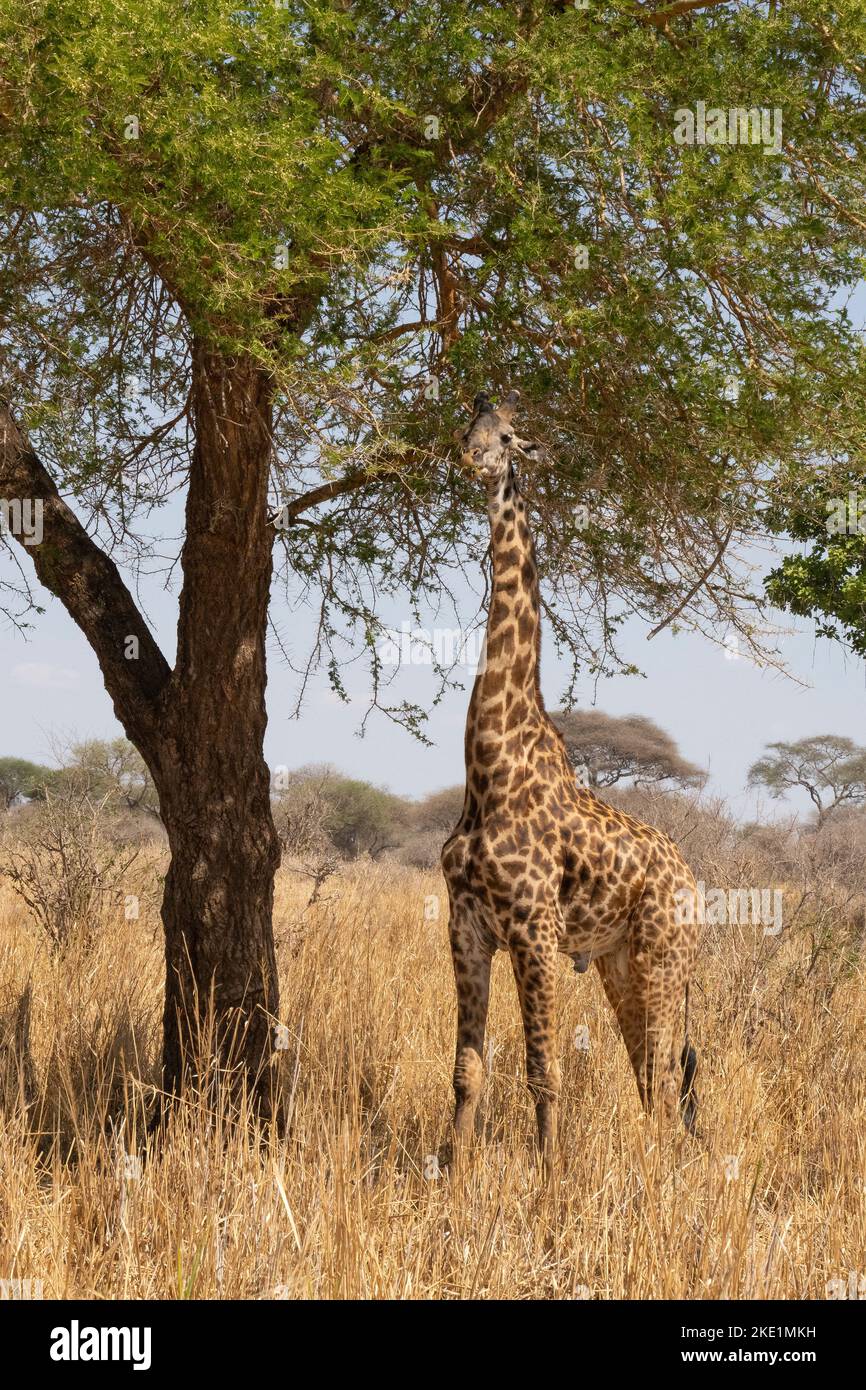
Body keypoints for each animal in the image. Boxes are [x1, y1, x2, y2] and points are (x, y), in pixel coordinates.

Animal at [441, 389, 699, 1171]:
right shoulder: (468, 929)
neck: (488, 771)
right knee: (648, 1074)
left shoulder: (535, 930)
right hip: (618, 963)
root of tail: (695, 884)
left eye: (508, 437)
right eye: (469, 425)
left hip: (663, 959)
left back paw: (656, 1175)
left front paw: (550, 1179)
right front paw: (449, 1179)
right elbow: (468, 1070)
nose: (472, 457)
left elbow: (541, 1069)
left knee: (661, 1072)